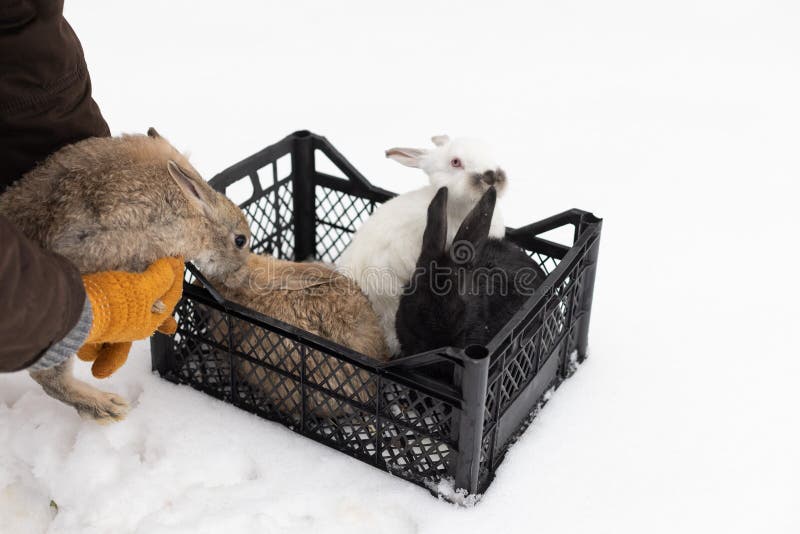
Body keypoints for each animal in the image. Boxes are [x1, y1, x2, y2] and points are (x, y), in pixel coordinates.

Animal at [0, 128, 251, 423]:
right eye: (240, 240)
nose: (240, 274)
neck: (195, 217)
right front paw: (156, 305)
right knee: (48, 377)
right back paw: (107, 406)